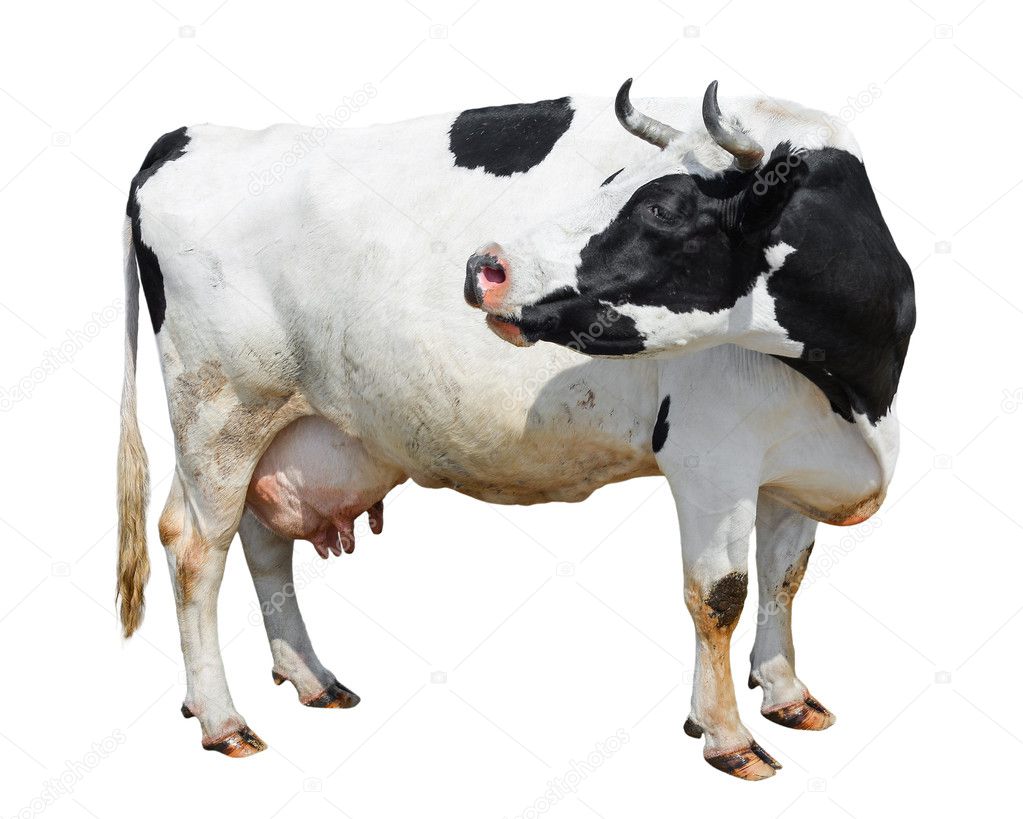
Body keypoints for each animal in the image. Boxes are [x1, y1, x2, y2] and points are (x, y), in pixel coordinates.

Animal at [117, 78, 914, 781]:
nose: (485, 265)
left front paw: (786, 695)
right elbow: (719, 594)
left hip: (282, 426)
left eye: (661, 206)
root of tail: (190, 134)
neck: (853, 391)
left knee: (262, 540)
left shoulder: (797, 464)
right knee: (195, 548)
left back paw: (311, 677)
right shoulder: (709, 460)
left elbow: (785, 578)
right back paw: (222, 718)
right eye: (612, 178)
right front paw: (725, 734)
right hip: (217, 410)